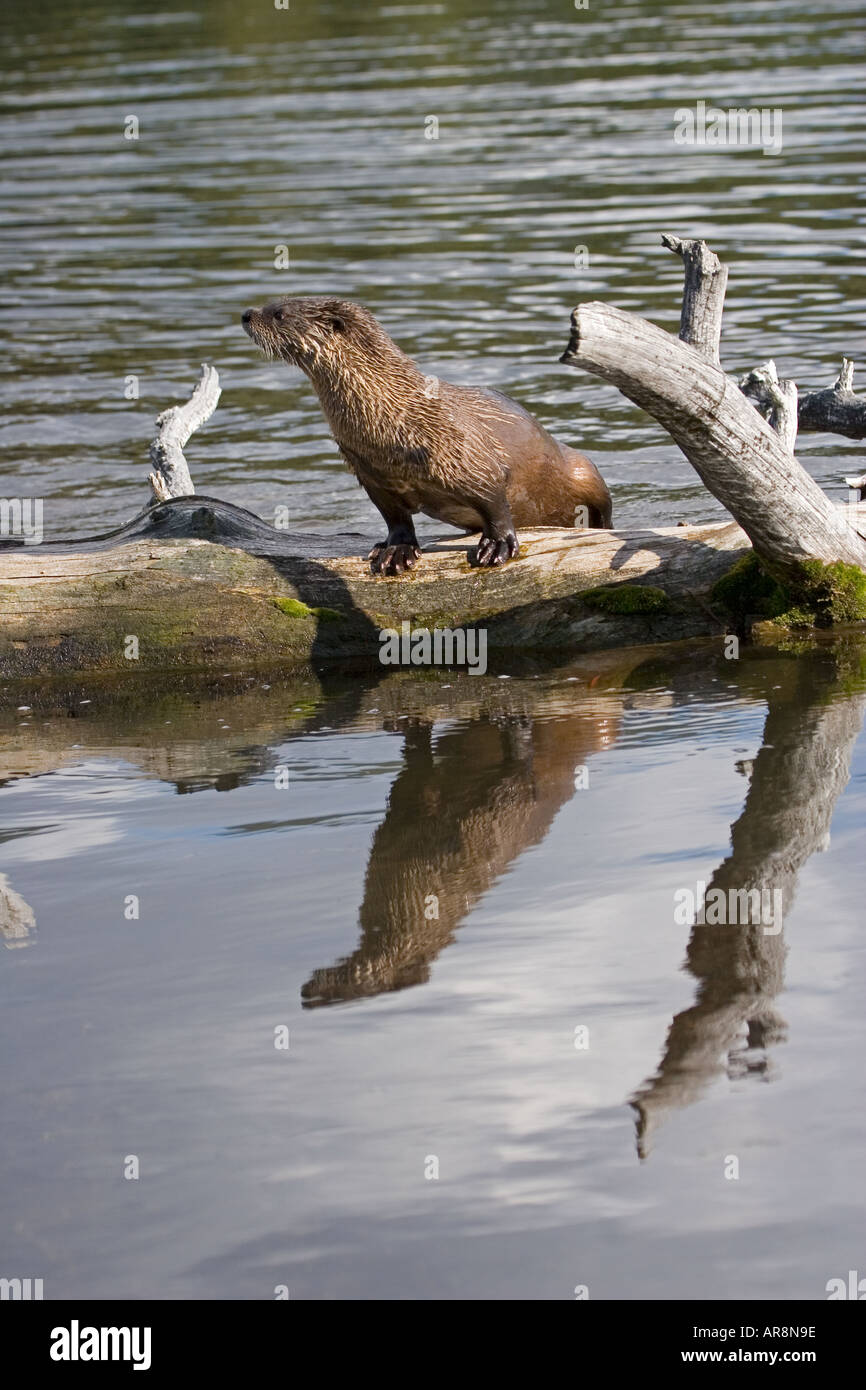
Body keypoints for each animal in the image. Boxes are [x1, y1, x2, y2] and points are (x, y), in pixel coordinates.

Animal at [242, 296, 611, 576]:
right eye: (272, 303)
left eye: (279, 313)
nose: (246, 314)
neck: (388, 418)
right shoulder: (370, 475)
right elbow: (395, 519)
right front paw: (396, 550)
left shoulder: (470, 458)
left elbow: (495, 502)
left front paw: (498, 545)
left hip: (584, 468)